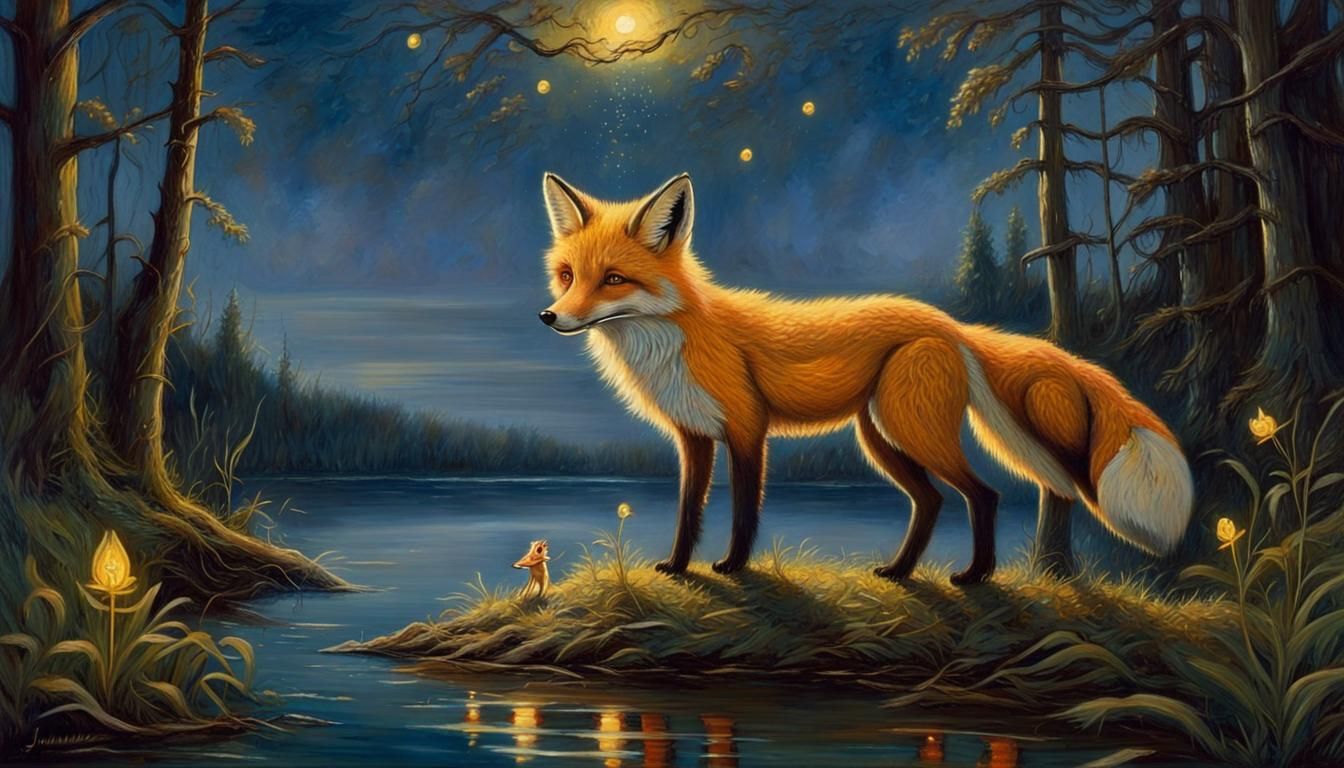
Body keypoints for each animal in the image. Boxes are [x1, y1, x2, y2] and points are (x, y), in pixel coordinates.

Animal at [537, 172, 1194, 585]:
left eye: (614, 279)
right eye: (568, 275)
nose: (550, 317)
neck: (676, 342)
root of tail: (946, 322)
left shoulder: (748, 429)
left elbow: (745, 511)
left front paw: (734, 568)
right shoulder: (694, 437)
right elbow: (686, 514)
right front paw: (678, 568)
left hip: (911, 429)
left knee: (982, 494)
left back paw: (975, 577)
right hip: (879, 437)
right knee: (931, 501)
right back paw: (902, 573)